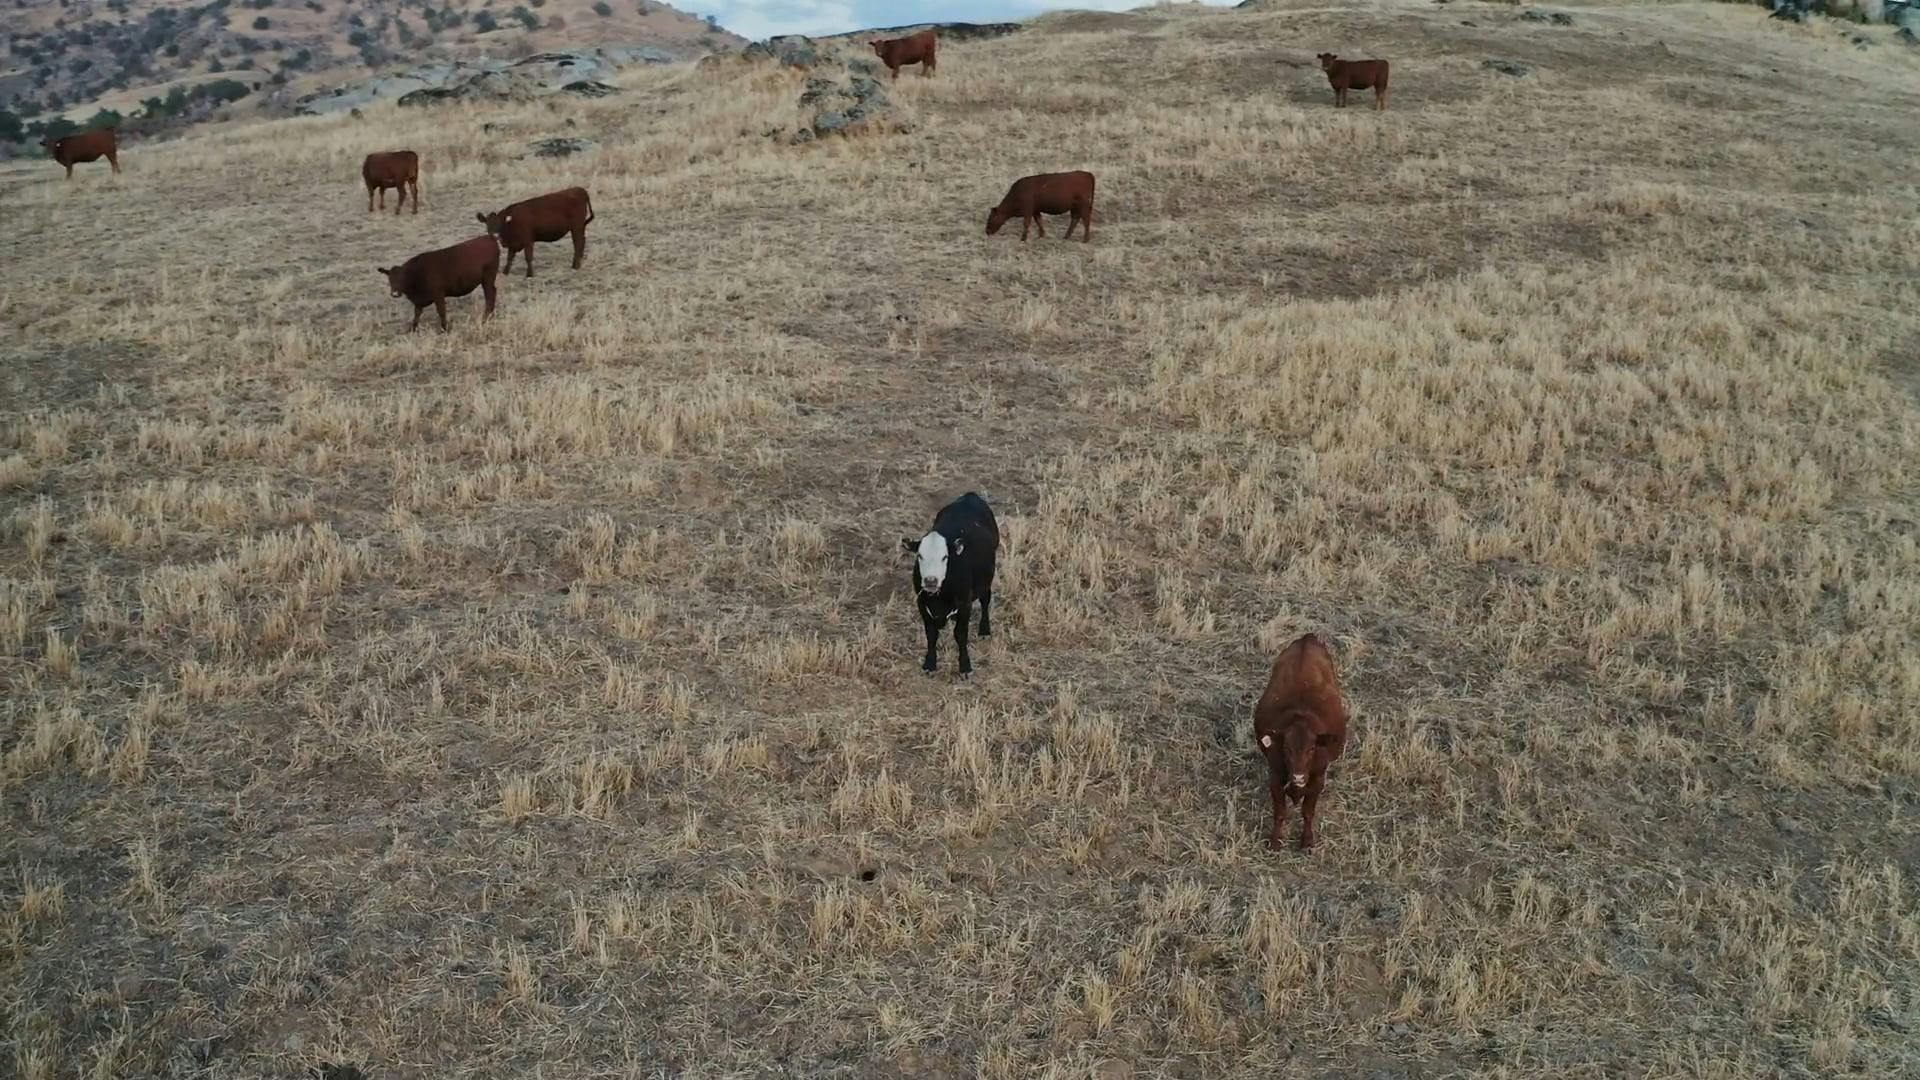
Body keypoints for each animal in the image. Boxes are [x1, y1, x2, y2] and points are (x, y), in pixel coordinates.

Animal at [902, 492, 998, 677]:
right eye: (920, 556)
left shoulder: (965, 603)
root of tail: (970, 496)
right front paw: (929, 664)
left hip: (986, 579)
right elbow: (931, 634)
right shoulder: (921, 603)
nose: (930, 580)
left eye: (945, 557)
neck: (939, 598)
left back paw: (984, 630)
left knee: (985, 600)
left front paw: (965, 667)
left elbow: (960, 634)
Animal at [1252, 633, 1350, 851]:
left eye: (1312, 748)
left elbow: (1307, 812)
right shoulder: (1275, 778)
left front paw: (1307, 841)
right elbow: (1280, 812)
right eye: (1286, 748)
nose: (1297, 777)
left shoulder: (1318, 780)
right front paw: (1275, 841)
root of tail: (1307, 638)